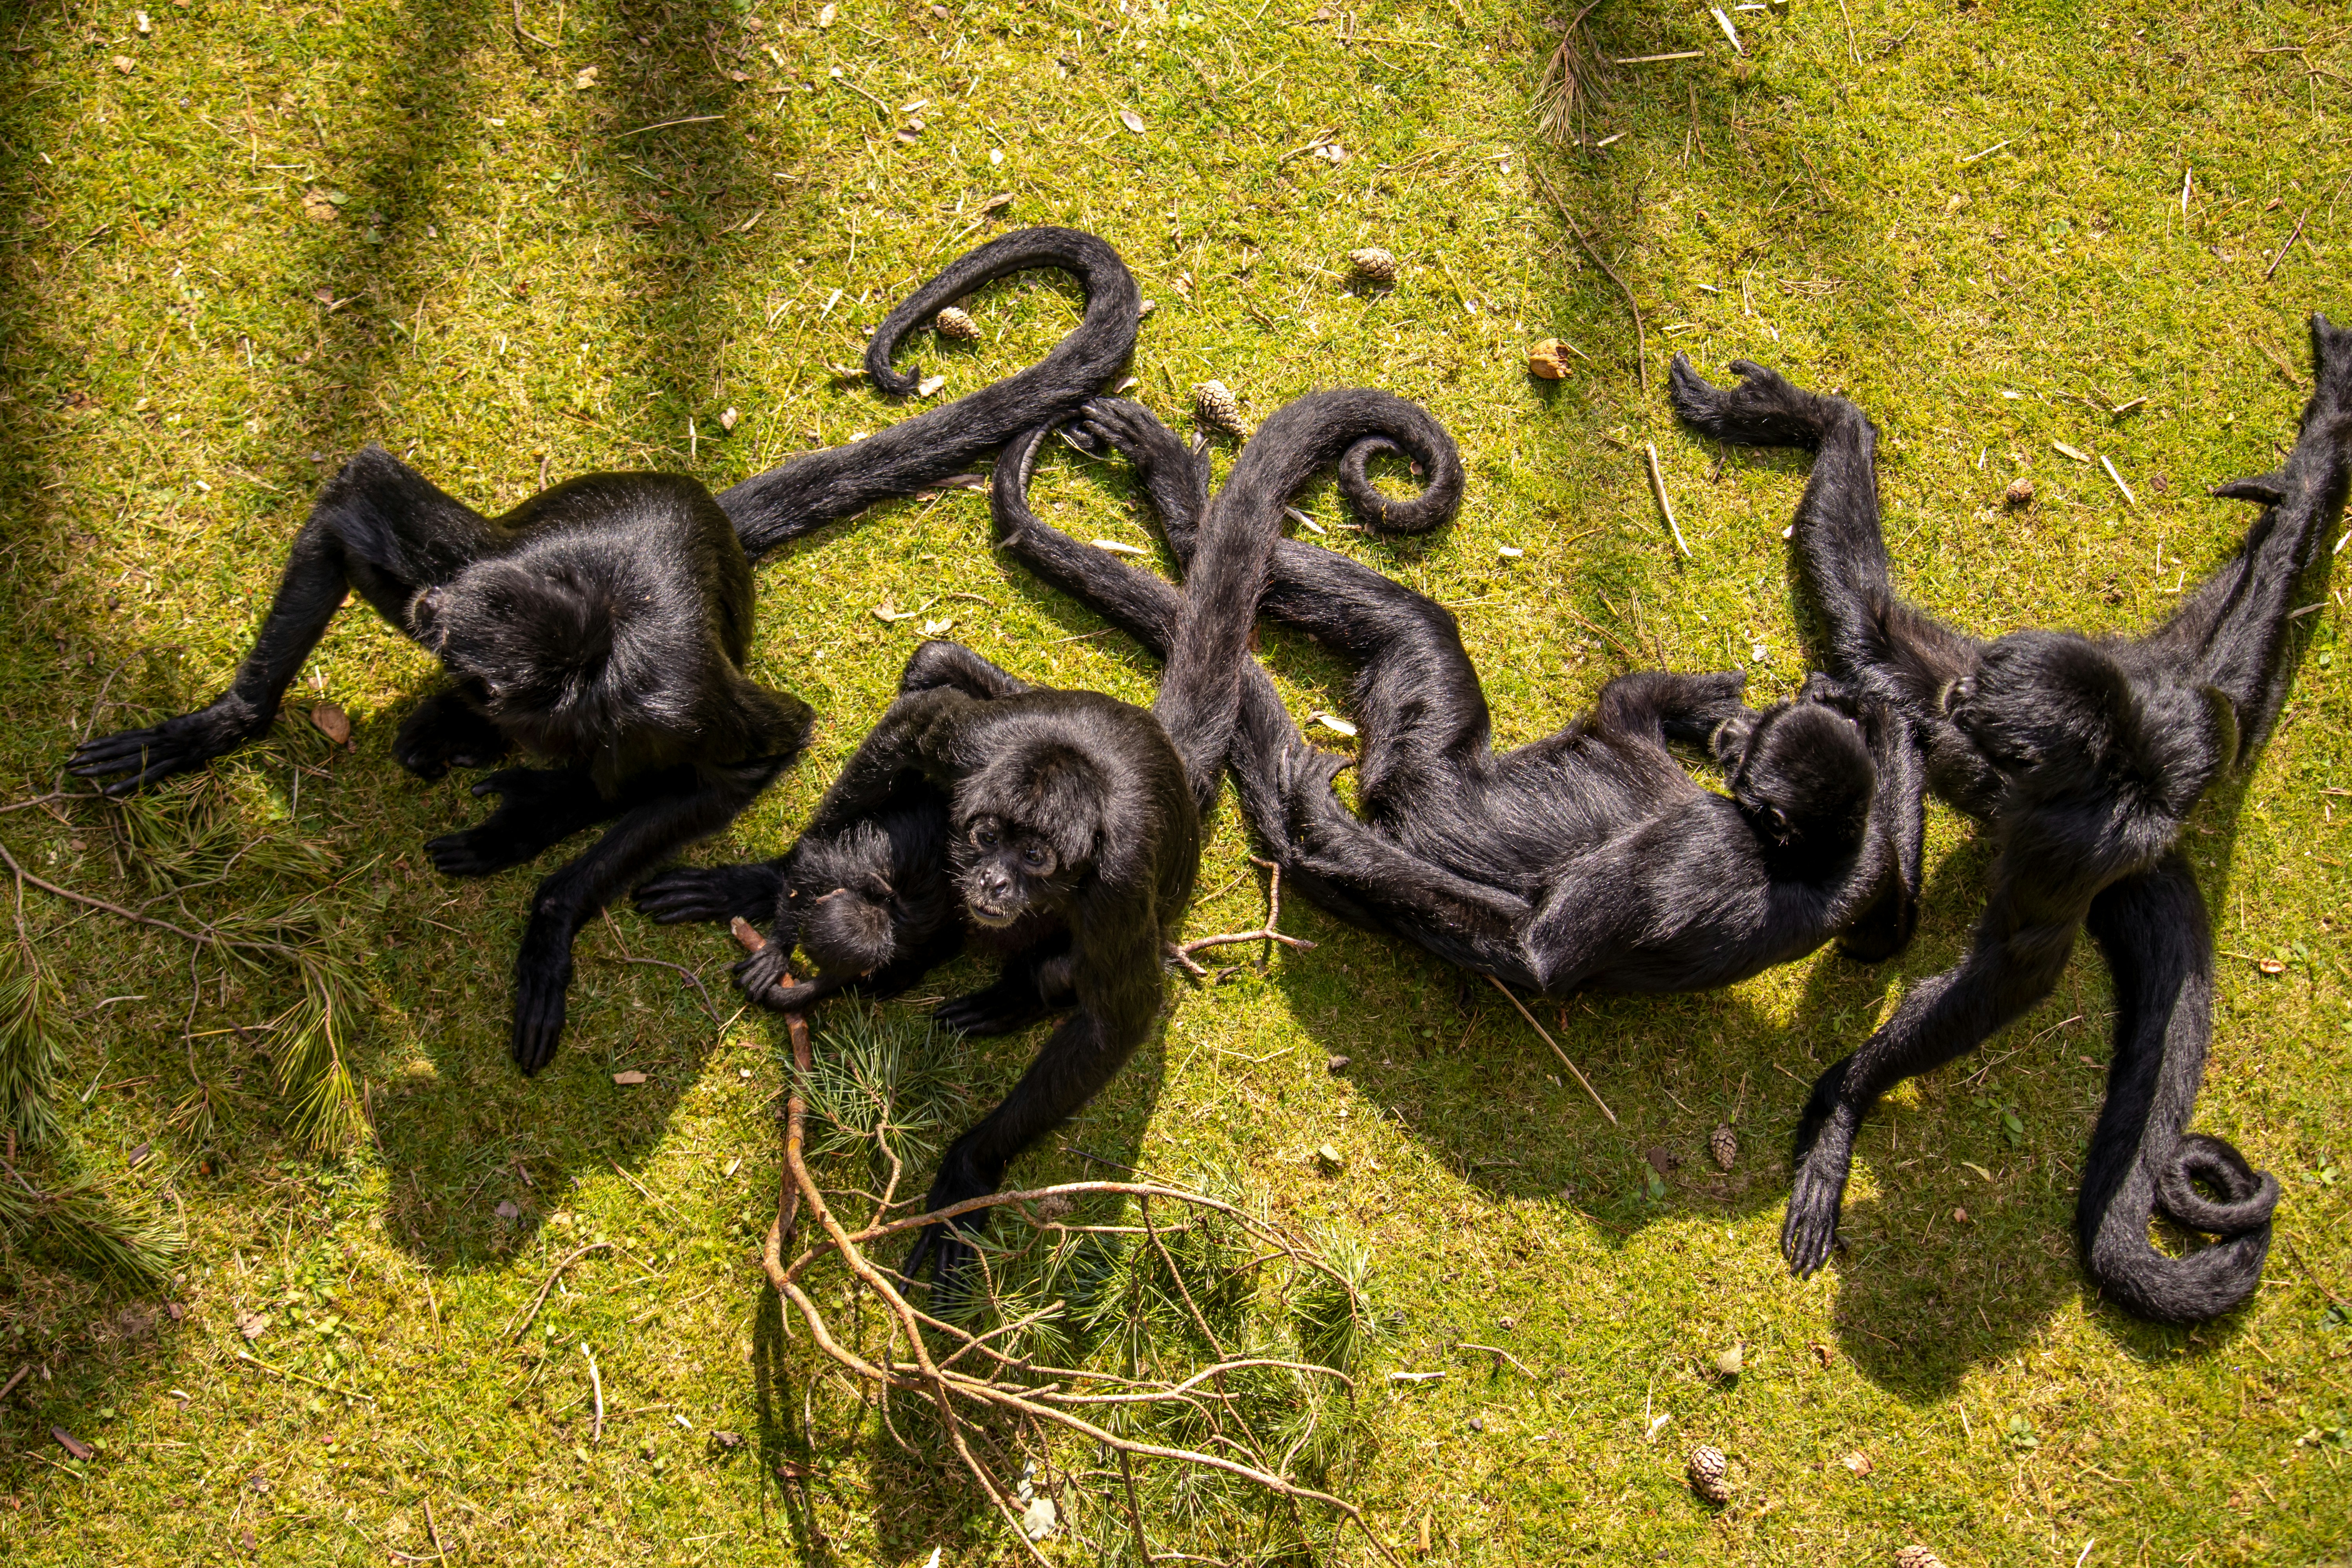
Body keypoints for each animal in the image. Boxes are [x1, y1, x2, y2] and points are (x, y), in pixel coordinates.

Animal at [986, 394, 1927, 1004]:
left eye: (1755, 776)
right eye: (1756, 749)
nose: (1735, 749)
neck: (1801, 860)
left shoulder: (1706, 850)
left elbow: (1532, 951)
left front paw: (1320, 822)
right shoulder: (1866, 848)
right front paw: (1716, 708)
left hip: (1423, 744)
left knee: (1415, 629)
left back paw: (1188, 519)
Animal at [1667, 314, 2347, 1321]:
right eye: (1974, 695)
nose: (1955, 705)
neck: (2117, 755)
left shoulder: (2074, 847)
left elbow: (2016, 969)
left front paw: (1842, 1104)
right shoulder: (2147, 690)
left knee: (1875, 644)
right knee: (1872, 623)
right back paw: (1818, 420)